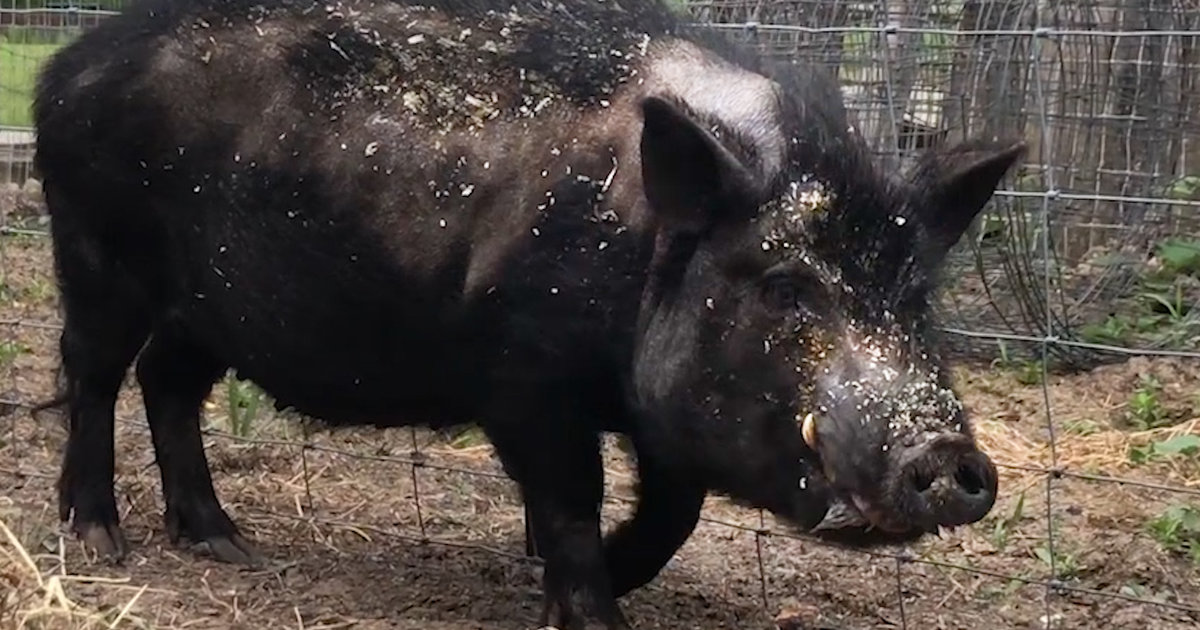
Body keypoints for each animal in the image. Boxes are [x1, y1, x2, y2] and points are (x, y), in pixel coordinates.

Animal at [30, 0, 1019, 627]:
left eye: (916, 297)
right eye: (784, 286)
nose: (946, 455)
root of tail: (67, 64)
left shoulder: (657, 416)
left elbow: (673, 514)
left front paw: (554, 576)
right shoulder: (524, 381)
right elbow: (572, 499)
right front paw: (585, 610)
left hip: (210, 308)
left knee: (168, 382)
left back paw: (224, 543)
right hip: (95, 253)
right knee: (93, 372)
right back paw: (102, 539)